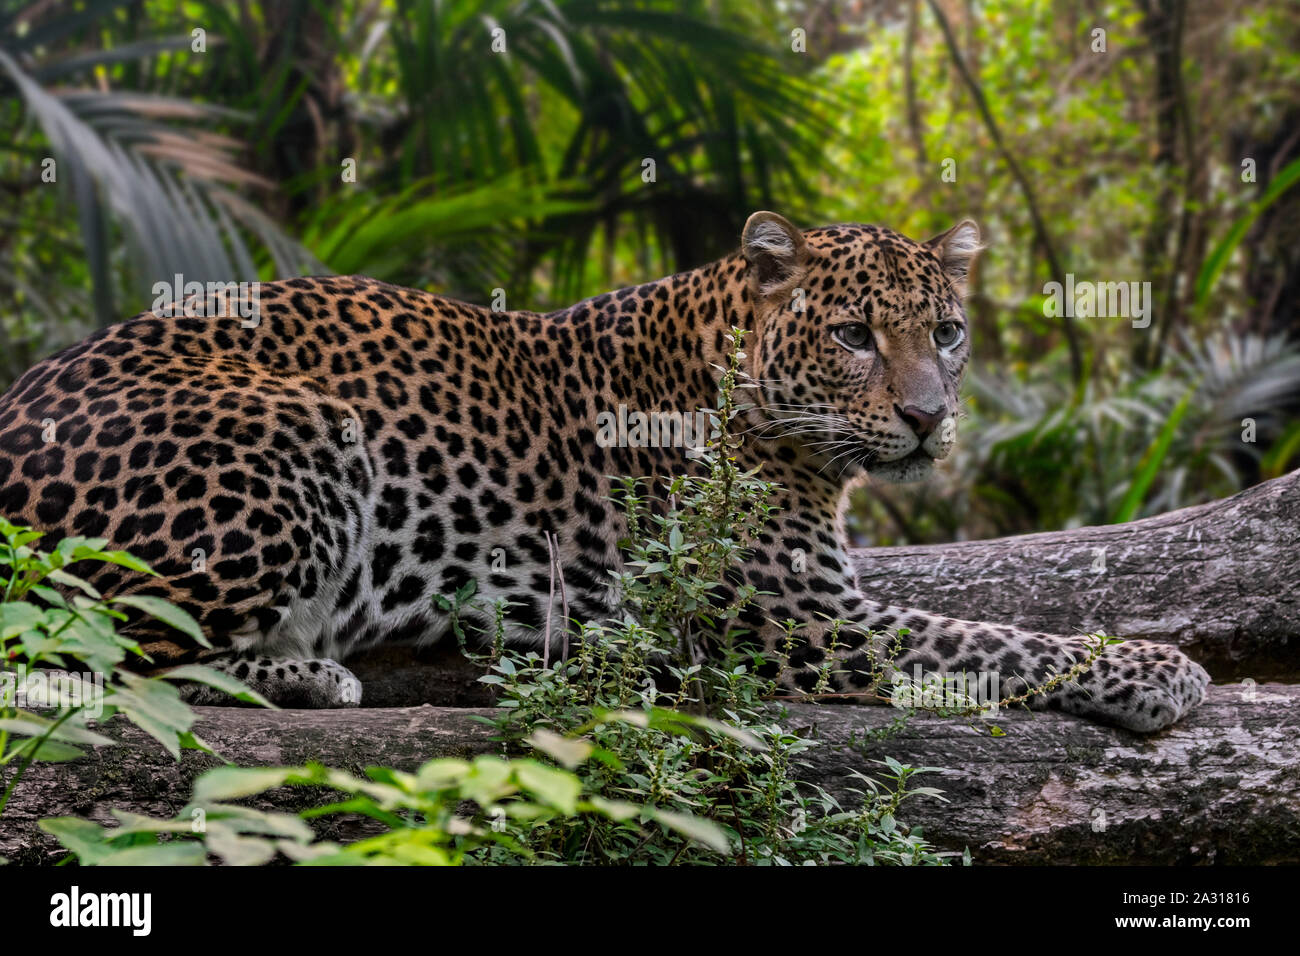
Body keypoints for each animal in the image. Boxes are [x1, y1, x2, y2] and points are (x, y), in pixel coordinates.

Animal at [0, 211, 1209, 730]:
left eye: (948, 333)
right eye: (855, 335)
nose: (927, 417)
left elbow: (1000, 612)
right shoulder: (797, 620)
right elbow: (996, 639)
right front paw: (1159, 671)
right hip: (294, 433)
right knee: (101, 655)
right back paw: (307, 676)